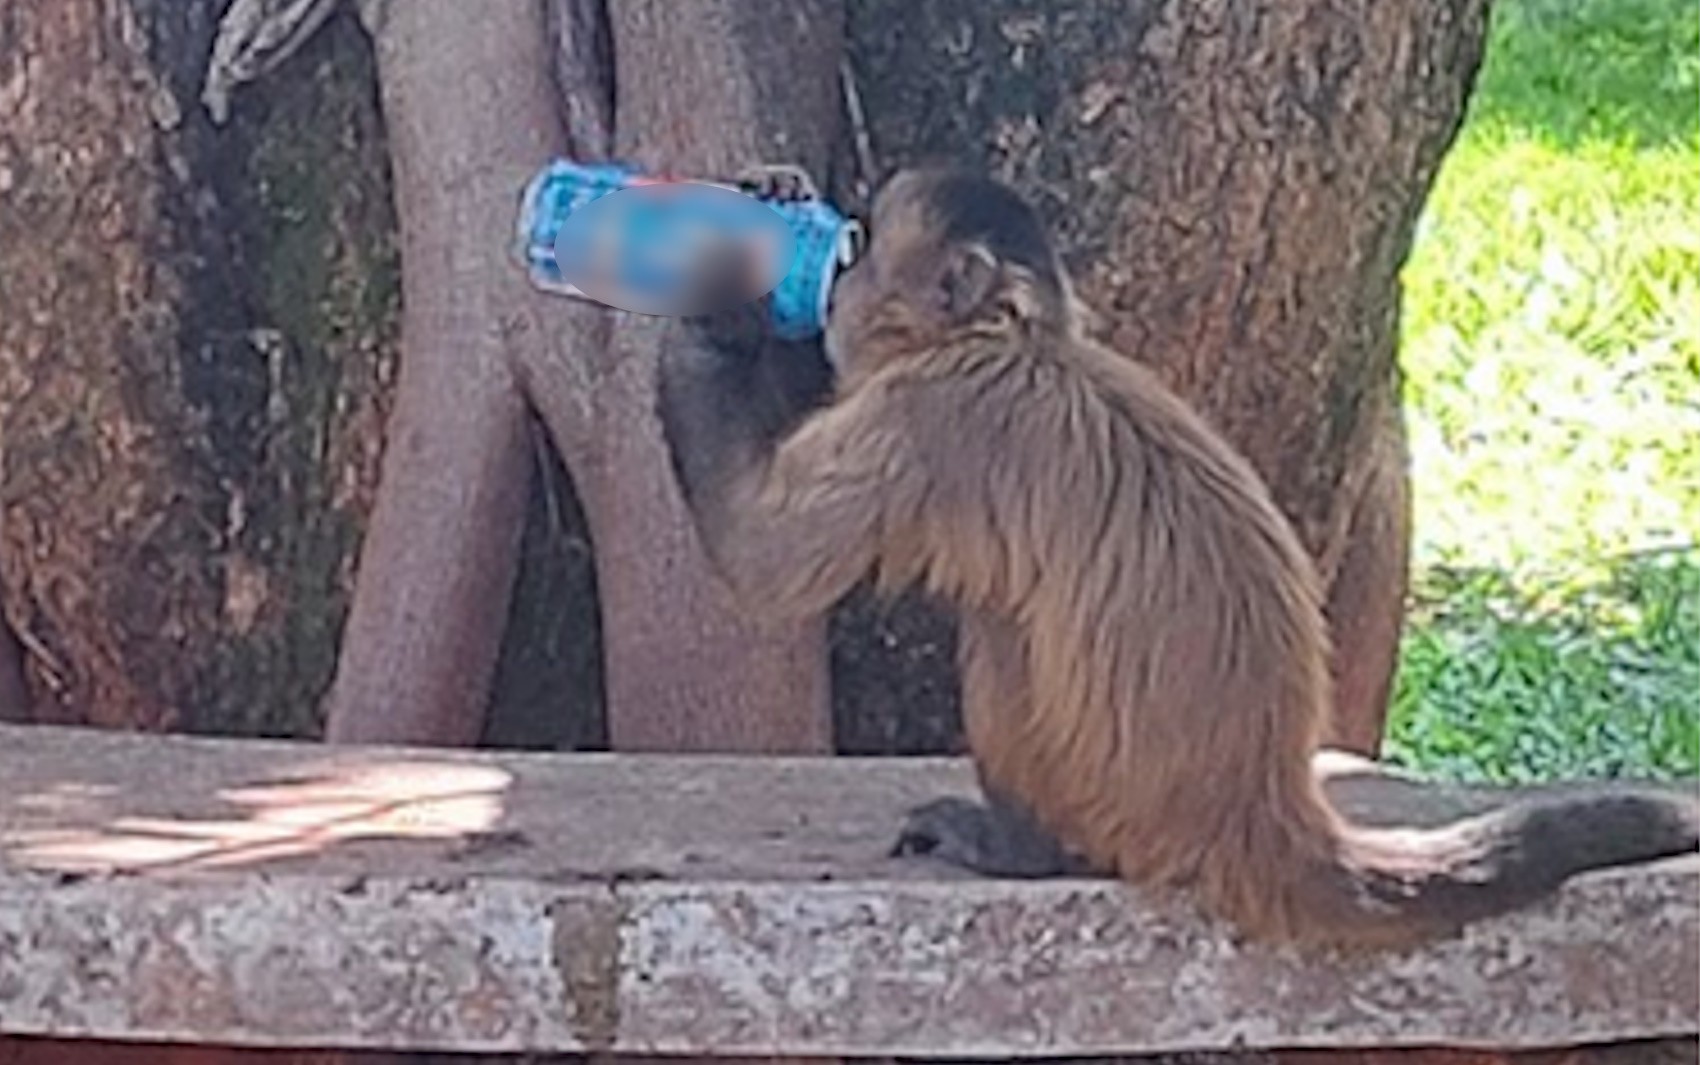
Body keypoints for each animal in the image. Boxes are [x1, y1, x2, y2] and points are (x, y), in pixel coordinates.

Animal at [655, 167, 1700, 950]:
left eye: (861, 248)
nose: (828, 275)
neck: (1020, 343)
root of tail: (1265, 808)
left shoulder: (933, 414)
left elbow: (764, 557)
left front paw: (718, 301)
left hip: (1111, 799)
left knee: (1000, 632)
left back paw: (1025, 849)